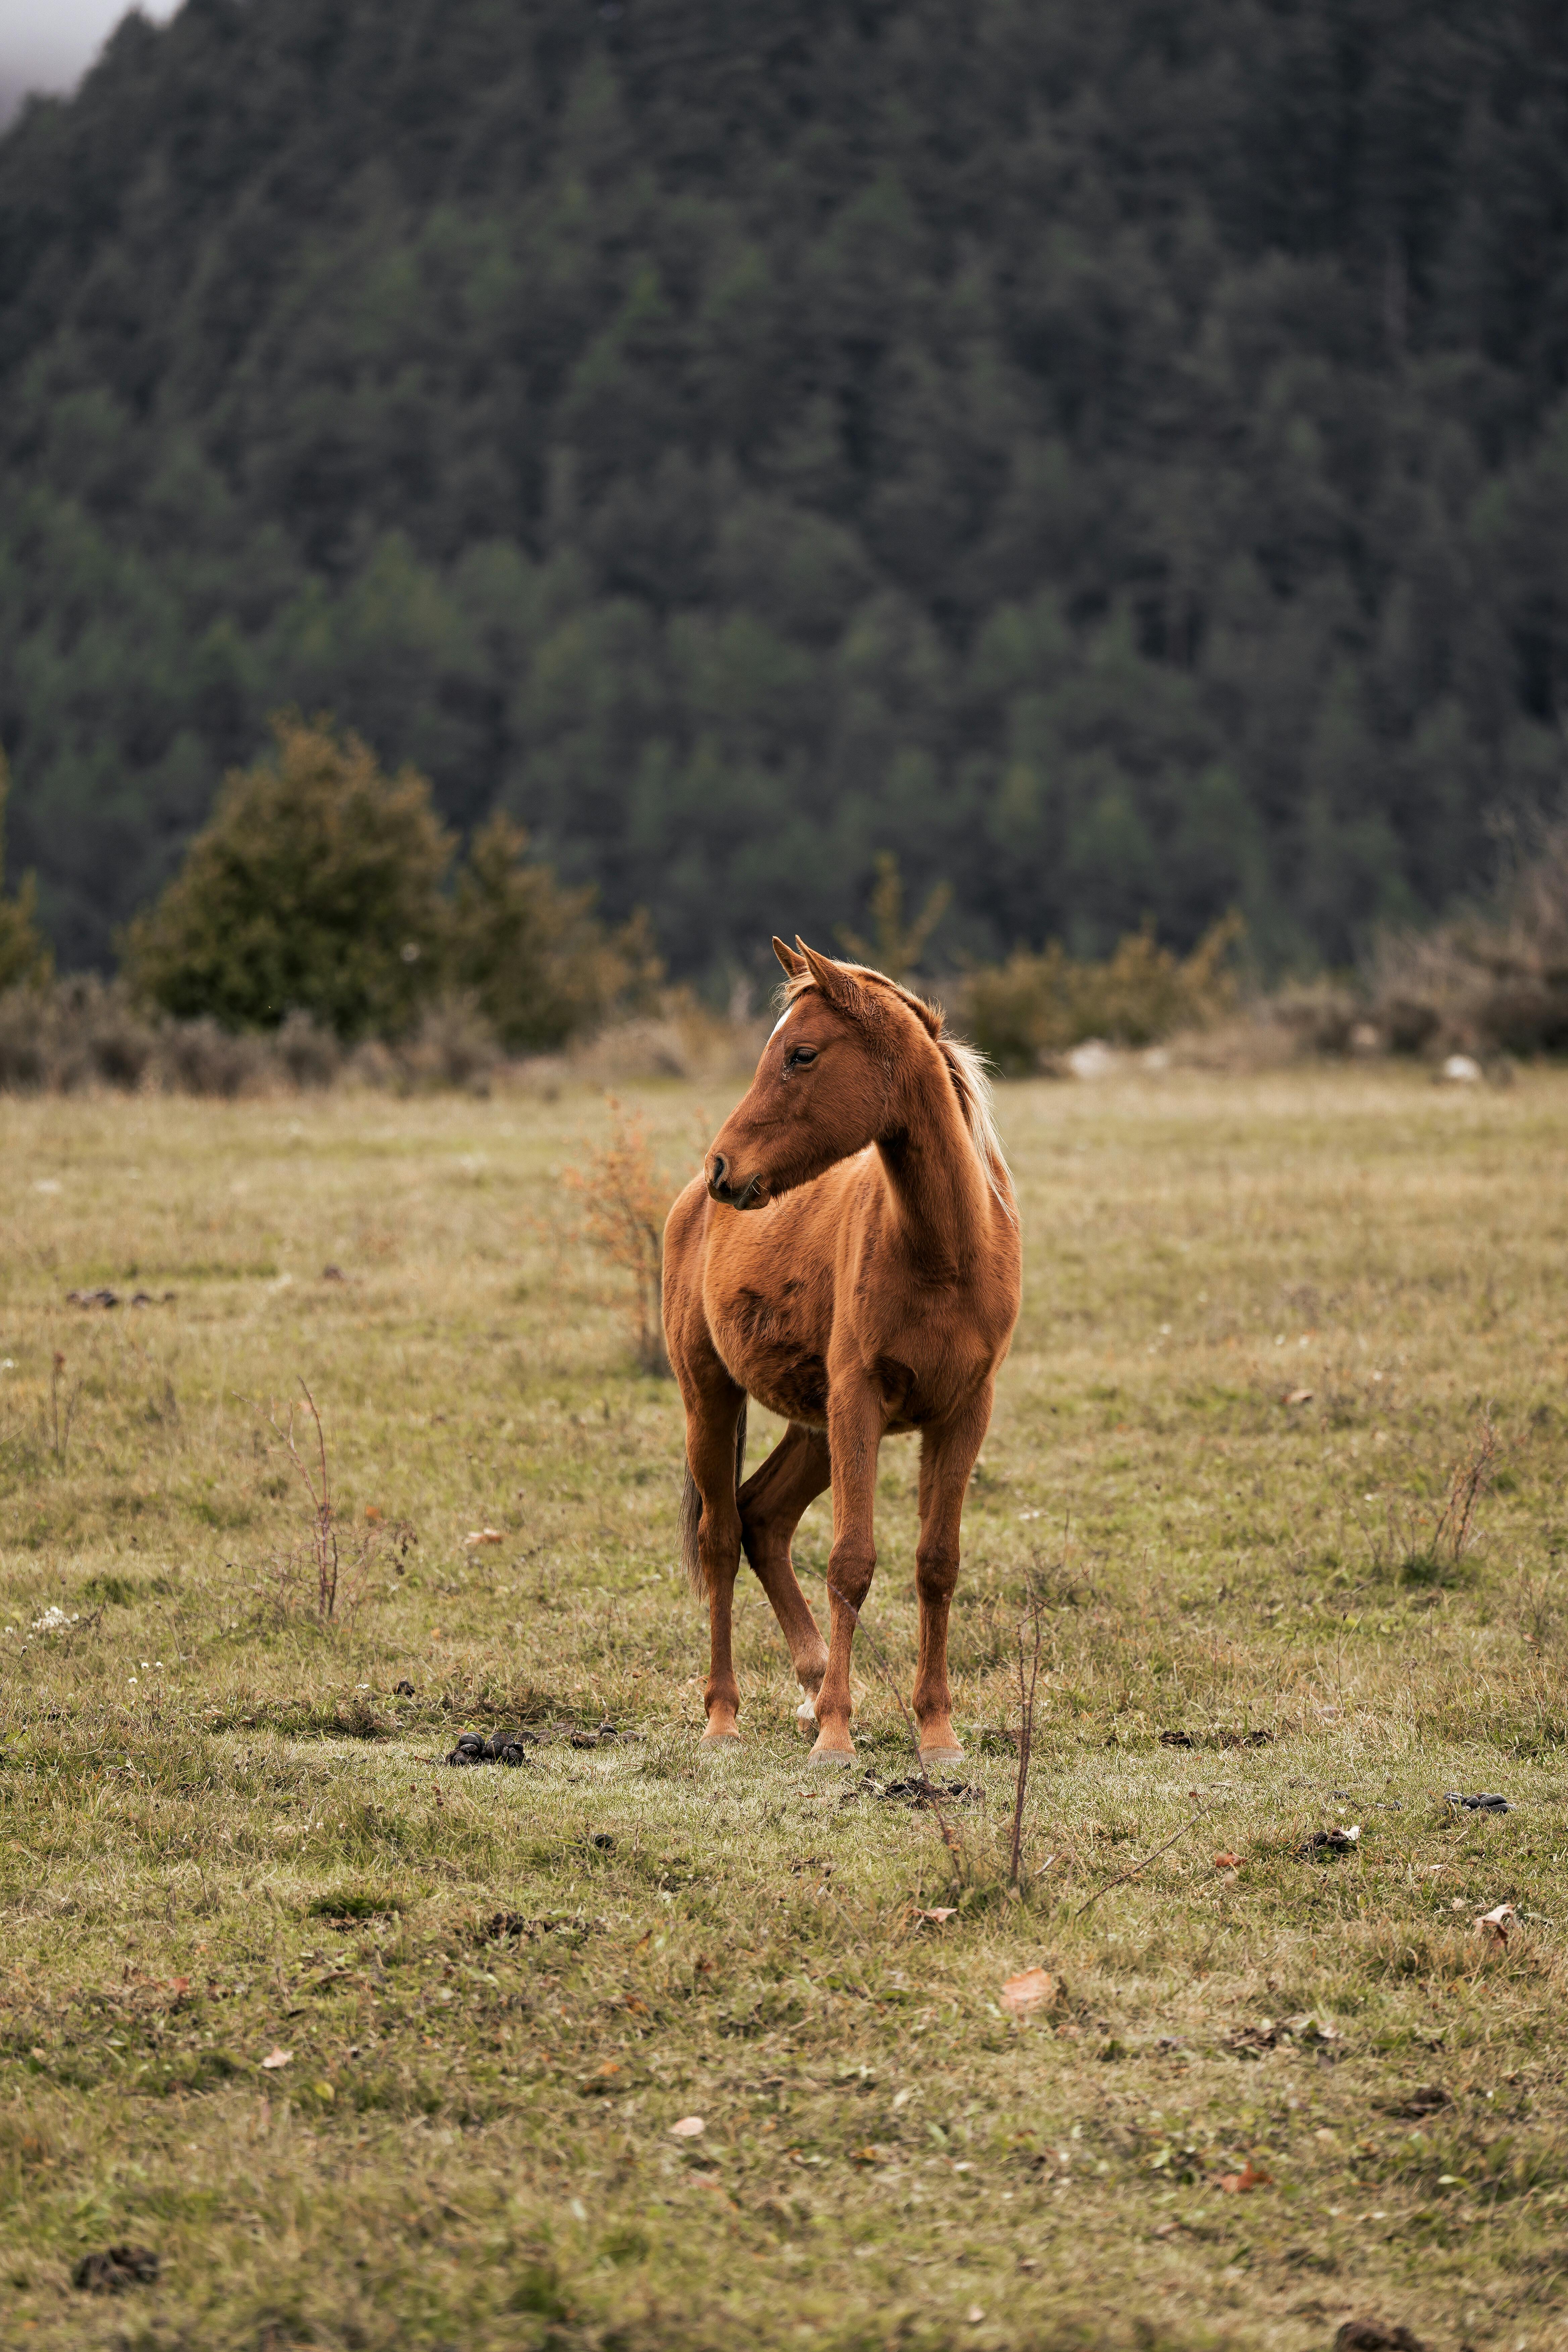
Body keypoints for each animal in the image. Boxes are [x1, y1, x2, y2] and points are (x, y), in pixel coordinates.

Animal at [661, 937, 1022, 1766]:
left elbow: (936, 1565)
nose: (723, 1167)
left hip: (813, 1428)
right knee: (721, 1538)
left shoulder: (962, 1413)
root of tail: (687, 1206)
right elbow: (852, 1562)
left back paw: (810, 1677)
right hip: (711, 1400)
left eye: (801, 1054)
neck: (944, 1251)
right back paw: (725, 1717)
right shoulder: (859, 1400)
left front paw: (936, 1730)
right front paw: (835, 1734)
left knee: (762, 1518)